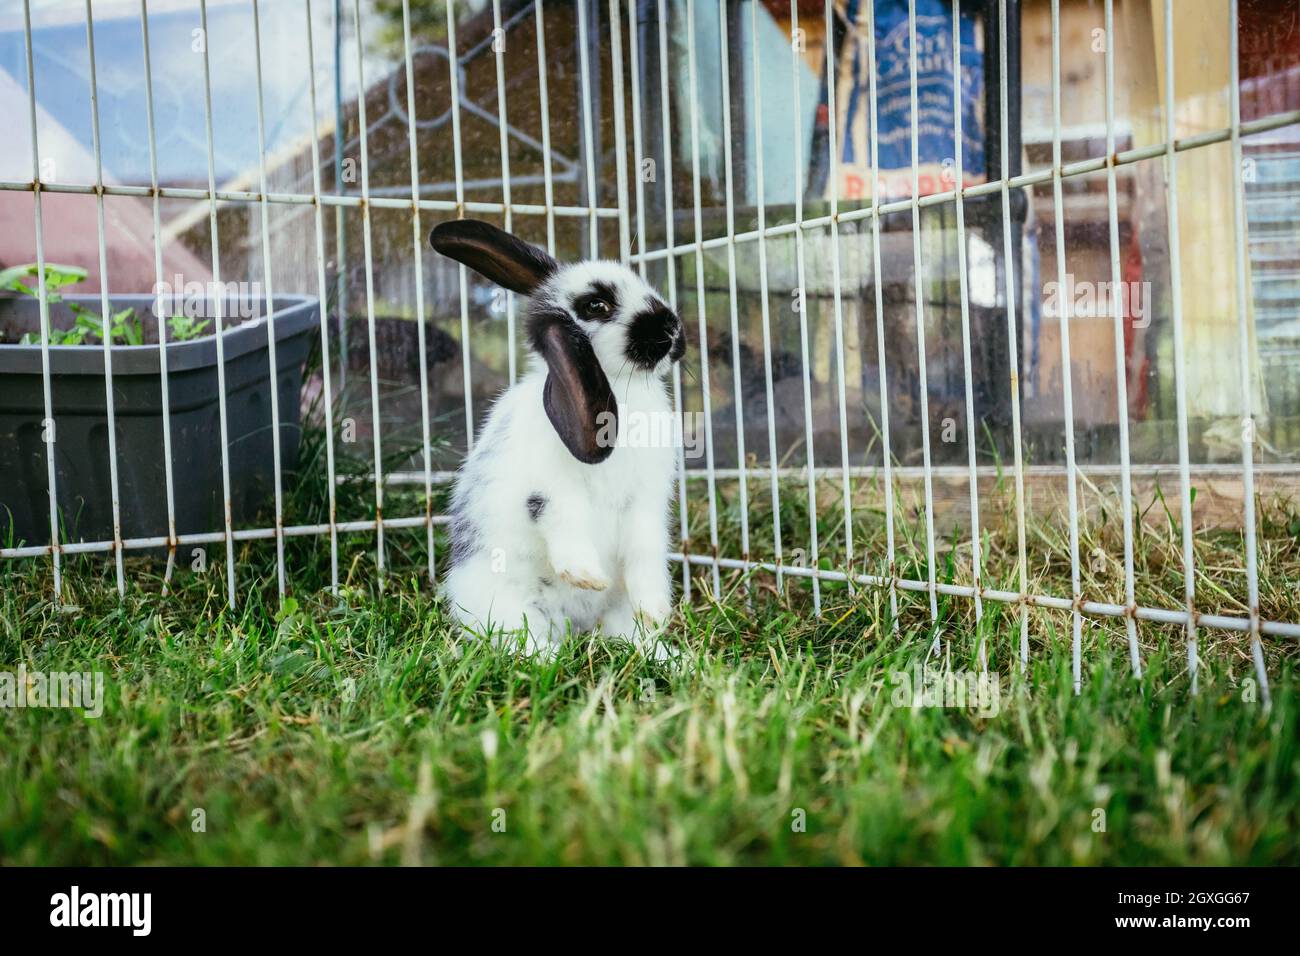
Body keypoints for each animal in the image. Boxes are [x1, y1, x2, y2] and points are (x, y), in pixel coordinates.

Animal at [429, 219, 686, 659]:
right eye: (596, 306)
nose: (672, 329)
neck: (623, 389)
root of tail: (579, 625)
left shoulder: (647, 502)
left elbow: (646, 551)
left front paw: (656, 609)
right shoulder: (549, 489)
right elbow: (564, 520)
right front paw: (585, 576)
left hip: (617, 614)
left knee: (627, 636)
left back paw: (670, 658)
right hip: (506, 607)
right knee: (521, 638)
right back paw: (547, 656)